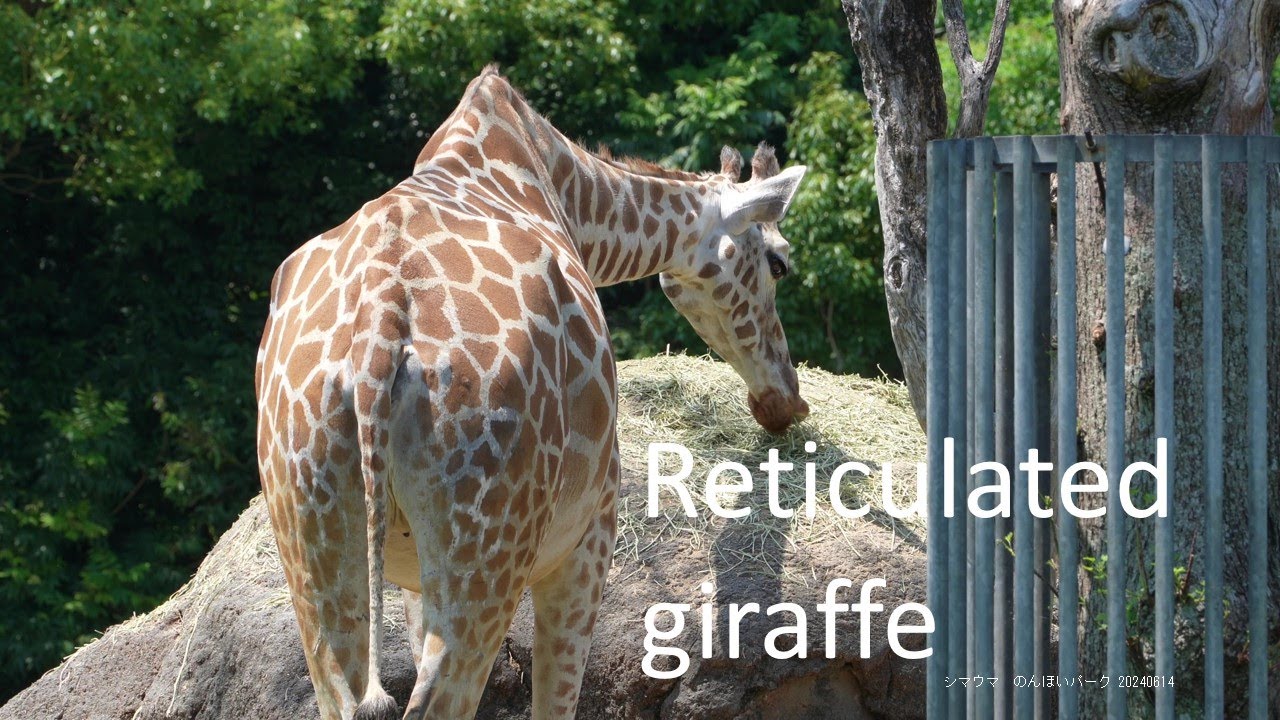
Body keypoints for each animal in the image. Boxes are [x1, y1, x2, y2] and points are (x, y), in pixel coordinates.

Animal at [255, 66, 809, 720]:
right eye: (778, 262)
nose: (786, 403)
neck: (563, 183)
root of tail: (376, 338)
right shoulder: (591, 533)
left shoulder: (413, 573)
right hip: (492, 554)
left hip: (311, 542)